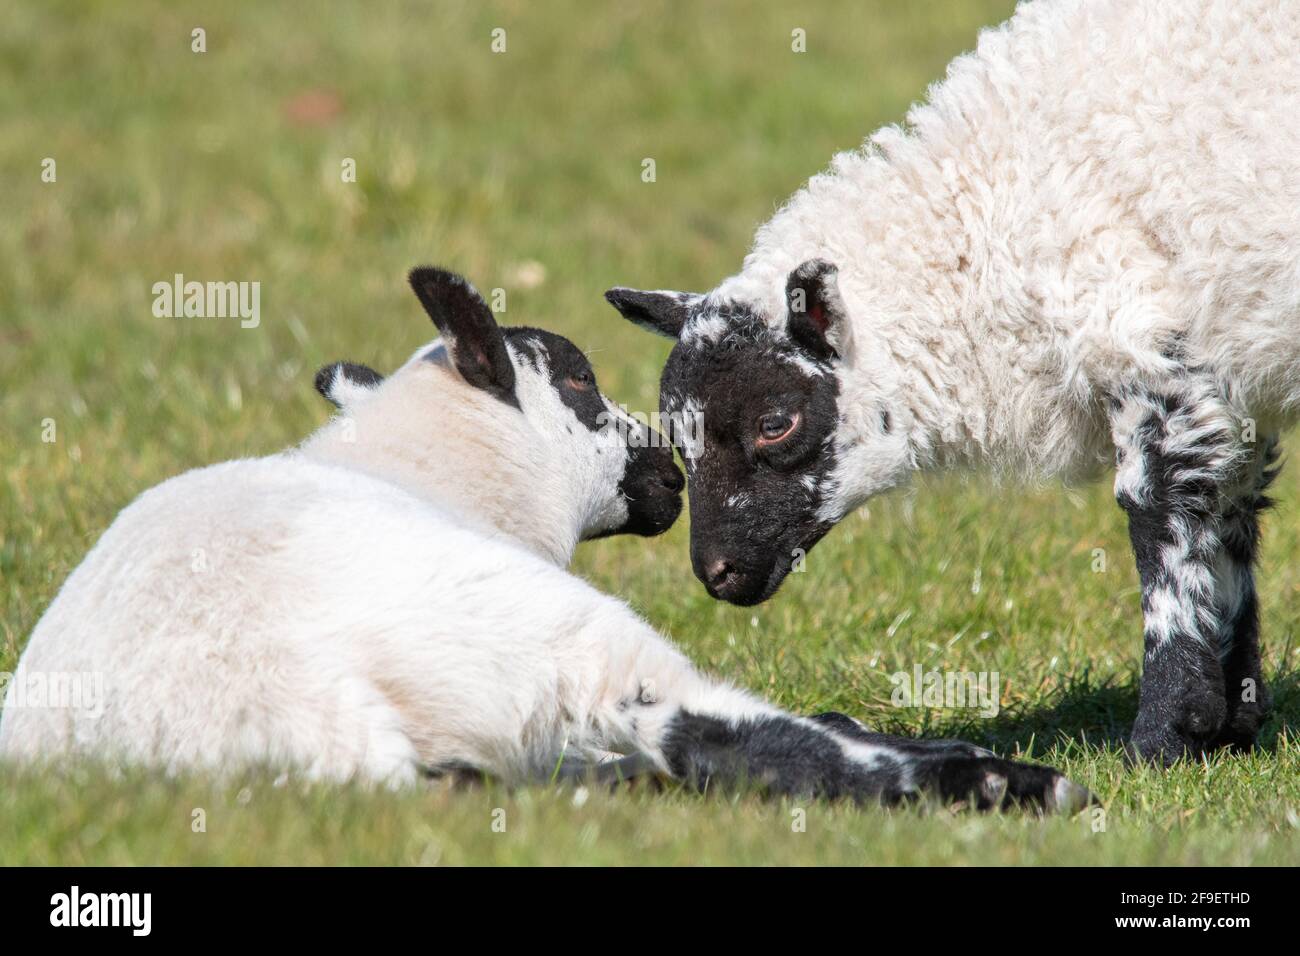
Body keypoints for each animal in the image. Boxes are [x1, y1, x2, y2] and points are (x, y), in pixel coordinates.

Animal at [0, 266, 1087, 809]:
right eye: (572, 376)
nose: (667, 476)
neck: (420, 467)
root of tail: (293, 716)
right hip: (531, 634)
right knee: (696, 726)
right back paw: (1002, 781)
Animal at [604, 0, 1300, 765]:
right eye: (677, 434)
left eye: (775, 423)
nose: (716, 574)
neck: (991, 221)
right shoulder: (1229, 377)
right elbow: (1230, 516)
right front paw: (1234, 722)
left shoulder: (1143, 352)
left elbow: (1162, 521)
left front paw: (1166, 734)